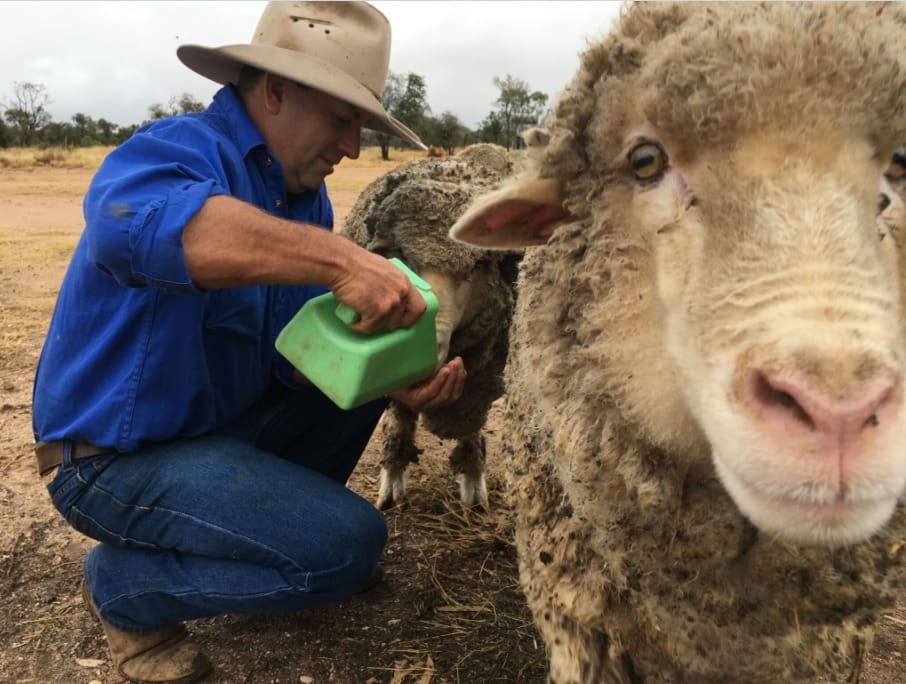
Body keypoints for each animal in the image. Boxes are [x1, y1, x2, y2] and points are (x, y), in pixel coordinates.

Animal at [339, 144, 520, 509]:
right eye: (401, 255)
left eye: (479, 265)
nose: (420, 355)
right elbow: (399, 414)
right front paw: (393, 475)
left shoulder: (479, 381)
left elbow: (470, 426)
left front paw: (473, 480)